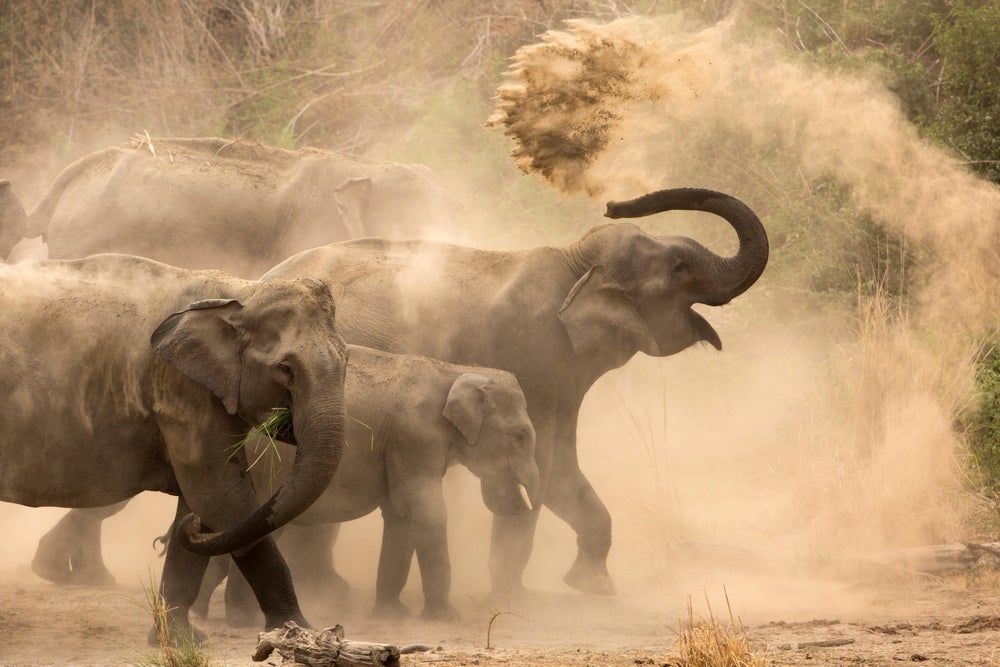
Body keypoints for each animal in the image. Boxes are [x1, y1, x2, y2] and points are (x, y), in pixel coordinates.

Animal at [0, 253, 349, 642]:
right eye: (286, 369)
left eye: (346, 360)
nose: (170, 535)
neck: (239, 293)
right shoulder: (181, 388)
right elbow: (222, 498)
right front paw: (297, 629)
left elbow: (200, 502)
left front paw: (180, 638)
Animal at [192, 344, 538, 625]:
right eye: (519, 436)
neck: (455, 370)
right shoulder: (414, 438)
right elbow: (426, 511)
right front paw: (446, 618)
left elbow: (399, 515)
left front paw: (392, 615)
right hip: (266, 468)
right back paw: (242, 620)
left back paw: (203, 613)